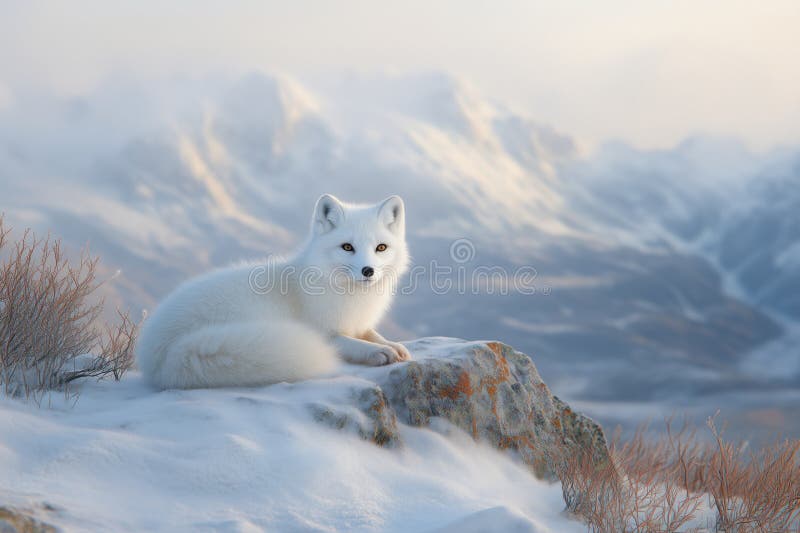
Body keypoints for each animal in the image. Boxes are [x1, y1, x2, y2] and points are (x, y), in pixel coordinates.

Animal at [135, 194, 412, 389]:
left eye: (381, 247)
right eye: (347, 247)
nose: (368, 271)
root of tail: (158, 356)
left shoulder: (358, 324)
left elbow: (372, 334)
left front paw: (392, 346)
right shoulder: (324, 332)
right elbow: (353, 342)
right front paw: (377, 352)